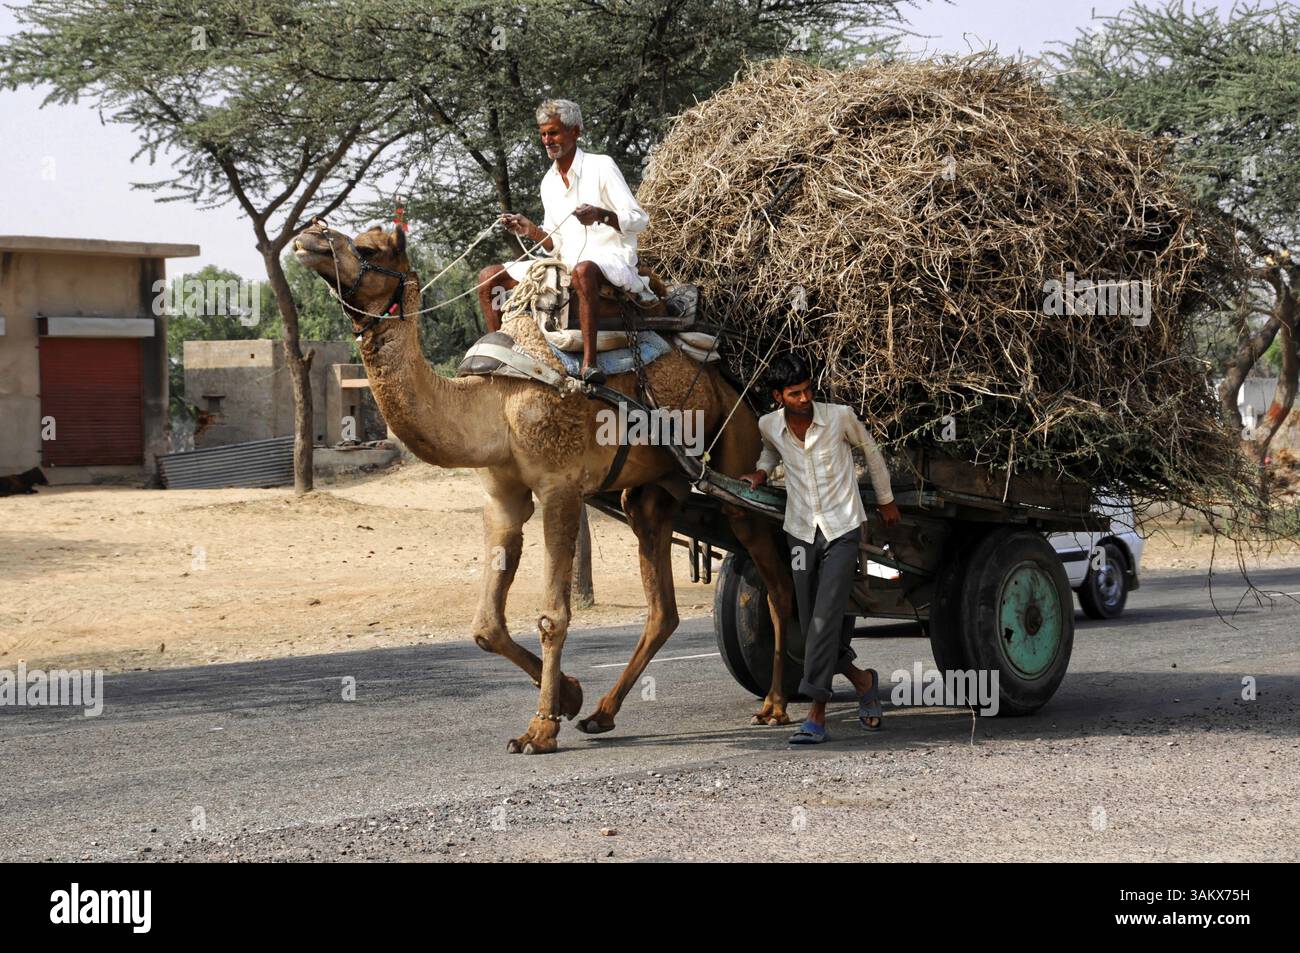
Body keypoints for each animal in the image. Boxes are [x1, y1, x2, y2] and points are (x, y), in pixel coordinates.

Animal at [292, 221, 795, 753]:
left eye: (368, 247)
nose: (308, 238)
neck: (495, 399)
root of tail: (729, 380)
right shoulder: (502, 497)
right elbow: (485, 626)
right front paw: (570, 696)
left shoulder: (560, 486)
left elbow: (553, 616)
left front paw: (540, 728)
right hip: (657, 487)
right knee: (664, 607)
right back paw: (601, 714)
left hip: (738, 448)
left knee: (776, 581)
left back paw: (776, 704)